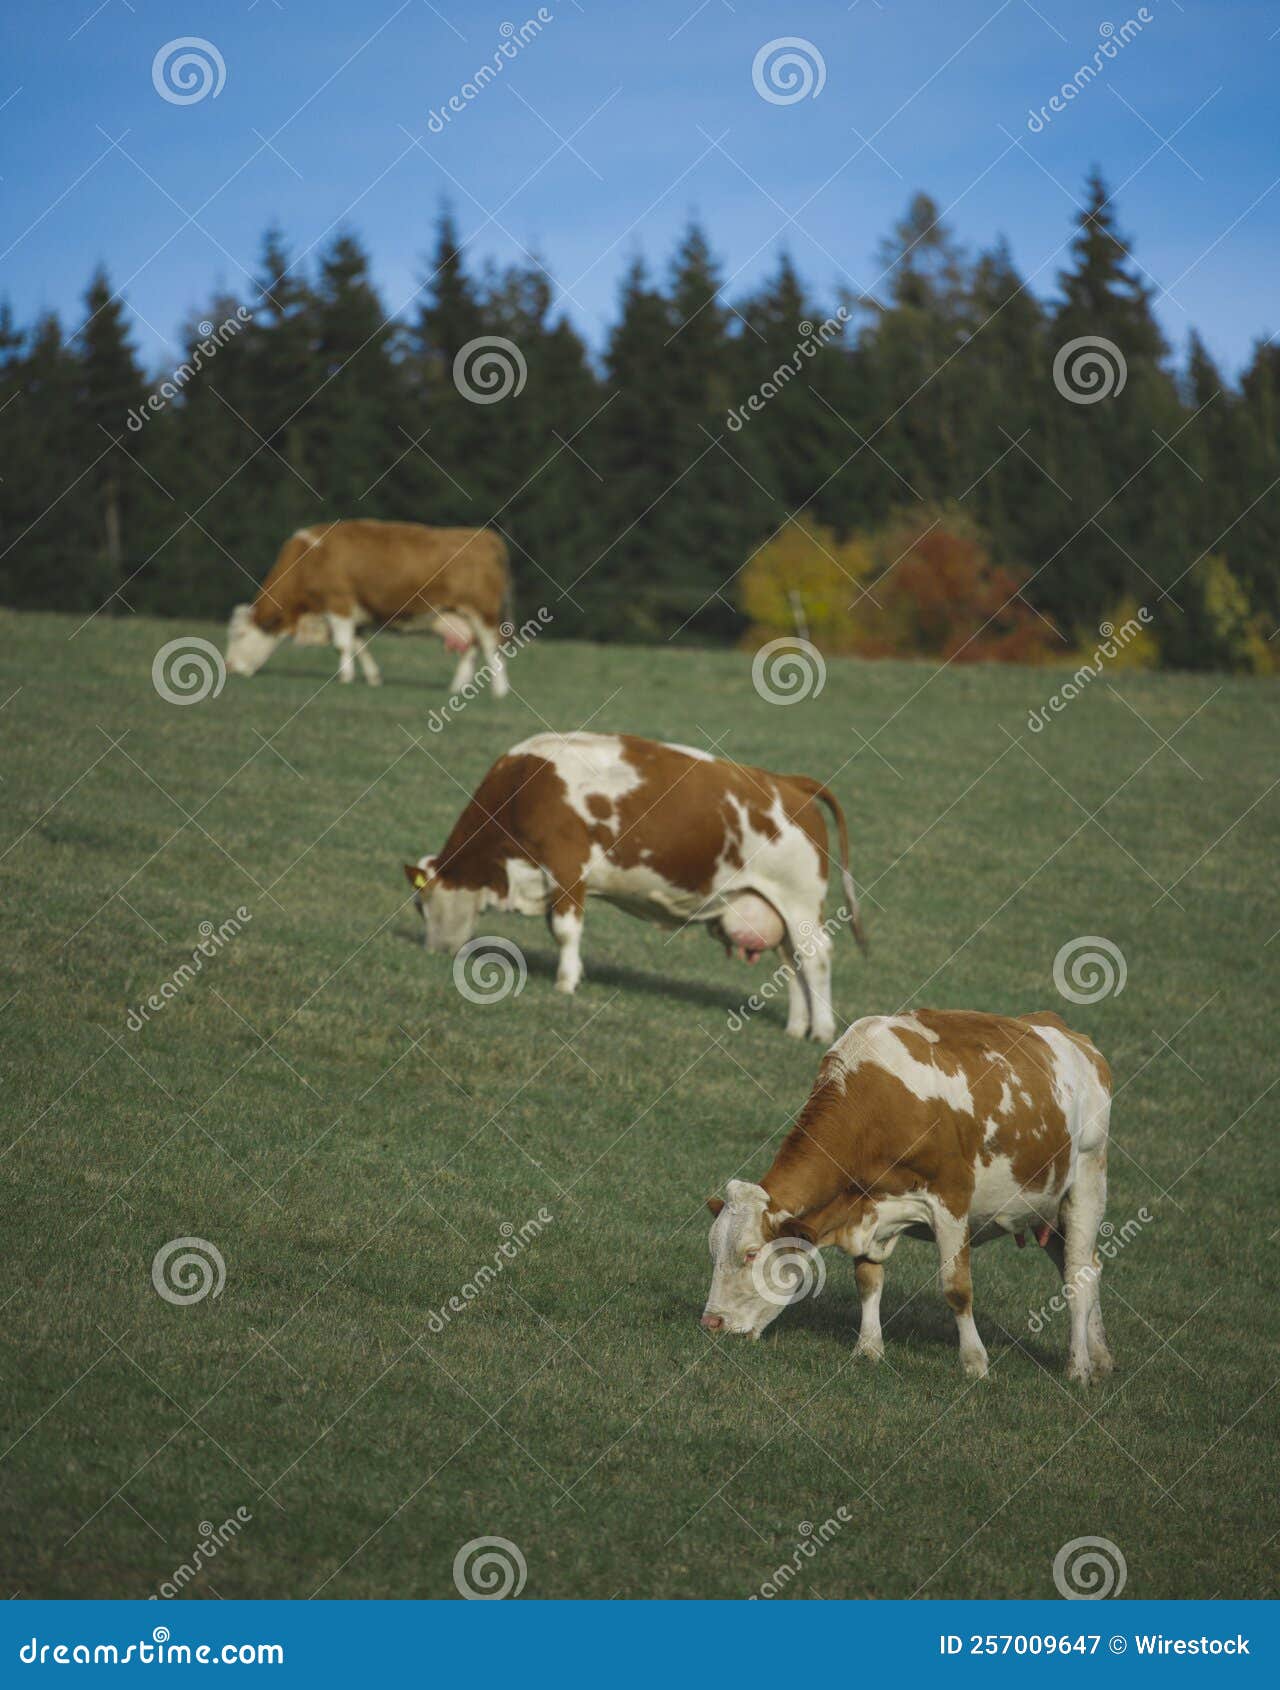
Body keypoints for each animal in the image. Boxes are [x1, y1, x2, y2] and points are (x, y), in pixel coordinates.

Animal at [225, 519, 511, 694]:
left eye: (239, 634)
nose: (229, 667)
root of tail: (482, 535)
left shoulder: (339, 603)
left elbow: (342, 645)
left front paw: (345, 677)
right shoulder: (354, 613)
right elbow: (358, 645)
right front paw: (372, 678)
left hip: (484, 613)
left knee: (490, 648)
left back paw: (500, 690)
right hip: (463, 615)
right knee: (471, 649)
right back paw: (458, 686)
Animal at [403, 732, 867, 1040]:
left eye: (422, 904)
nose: (433, 951)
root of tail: (789, 783)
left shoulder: (567, 866)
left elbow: (565, 930)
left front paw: (566, 982)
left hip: (800, 900)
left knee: (816, 957)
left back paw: (822, 1031)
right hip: (774, 907)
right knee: (791, 962)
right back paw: (796, 1027)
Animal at [701, 1008, 1114, 1383]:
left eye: (750, 1253)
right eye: (713, 1250)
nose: (711, 1322)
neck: (878, 1104)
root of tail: (1076, 1040)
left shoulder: (951, 1200)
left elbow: (957, 1289)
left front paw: (975, 1363)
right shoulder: (867, 1208)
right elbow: (868, 1279)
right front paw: (868, 1347)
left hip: (1087, 1180)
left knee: (1078, 1272)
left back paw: (1078, 1367)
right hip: (1048, 1211)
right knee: (1086, 1267)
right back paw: (1101, 1356)